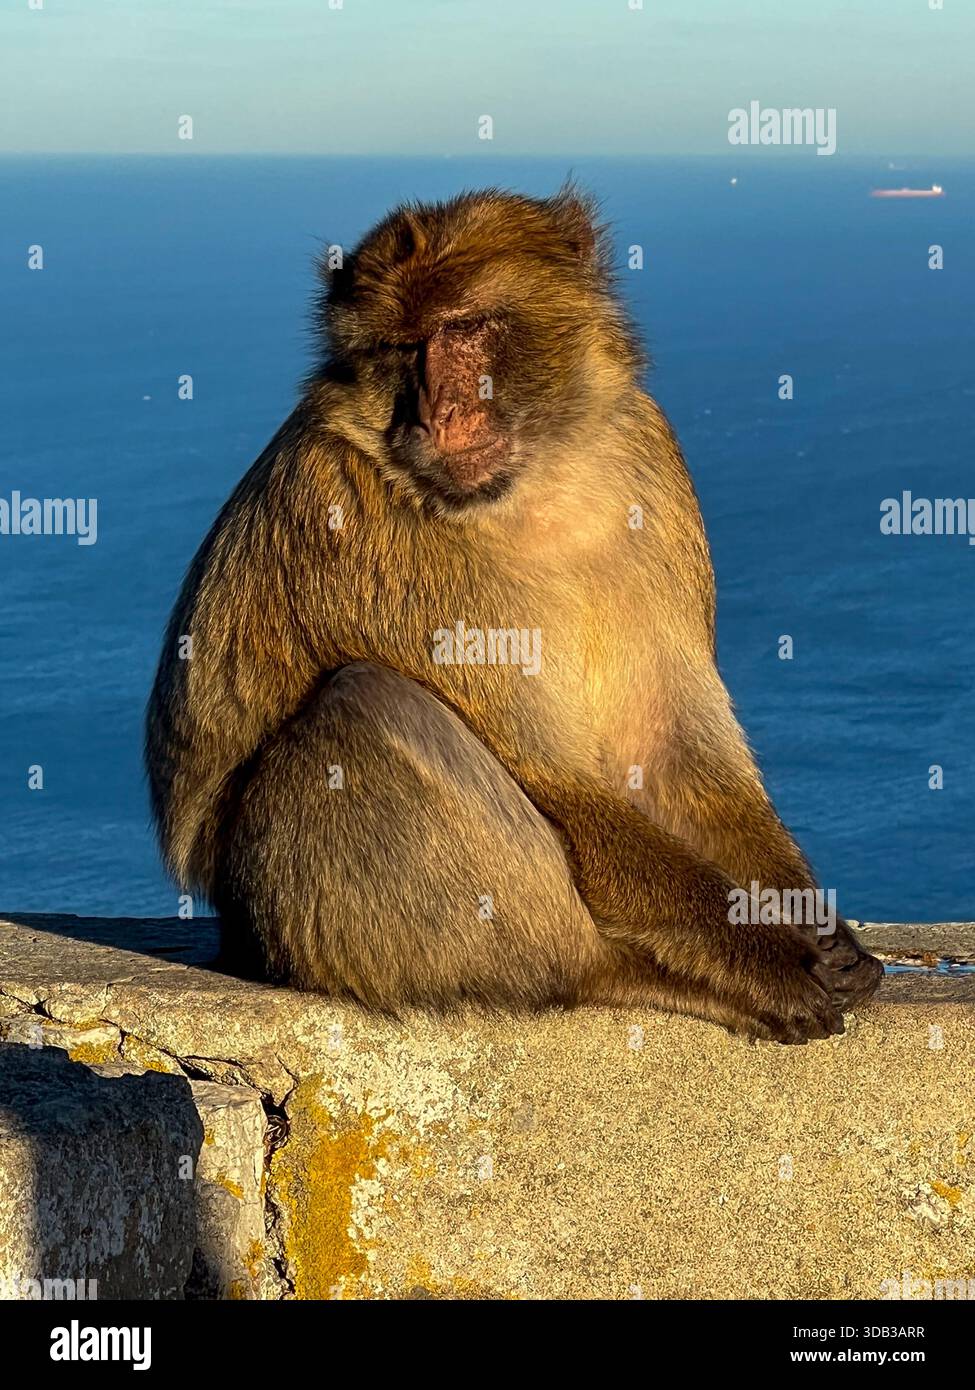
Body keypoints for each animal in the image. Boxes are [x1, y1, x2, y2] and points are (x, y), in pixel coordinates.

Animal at [146, 185, 883, 1043]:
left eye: (465, 329)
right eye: (401, 348)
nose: (438, 415)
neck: (536, 488)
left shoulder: (648, 454)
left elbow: (668, 745)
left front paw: (816, 928)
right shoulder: (369, 531)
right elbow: (556, 782)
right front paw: (771, 958)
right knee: (366, 707)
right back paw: (617, 972)